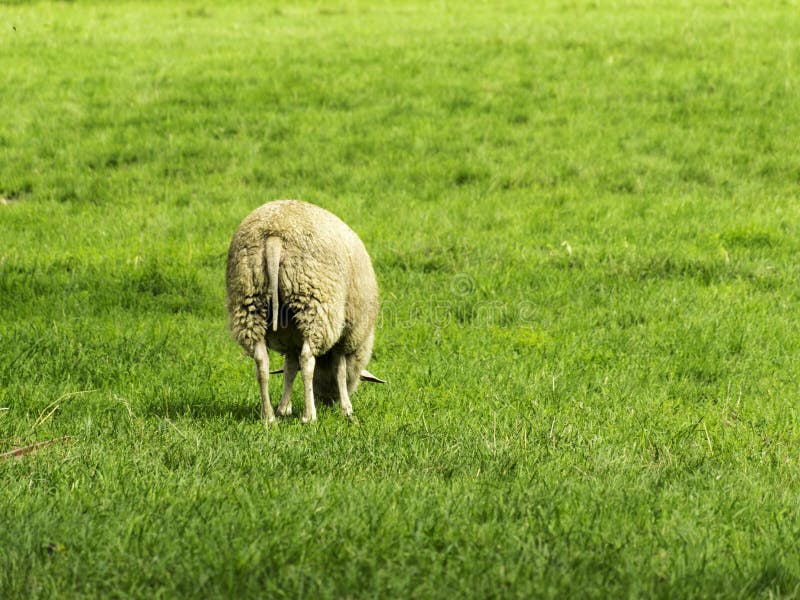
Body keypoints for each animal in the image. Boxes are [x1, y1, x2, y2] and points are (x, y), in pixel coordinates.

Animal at [226, 199, 384, 424]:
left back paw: (269, 417)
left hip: (248, 300)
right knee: (308, 360)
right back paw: (309, 416)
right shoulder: (343, 339)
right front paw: (346, 409)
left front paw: (284, 408)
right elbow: (339, 370)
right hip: (315, 304)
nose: (327, 402)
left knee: (261, 361)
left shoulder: (291, 340)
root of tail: (274, 234)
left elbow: (290, 368)